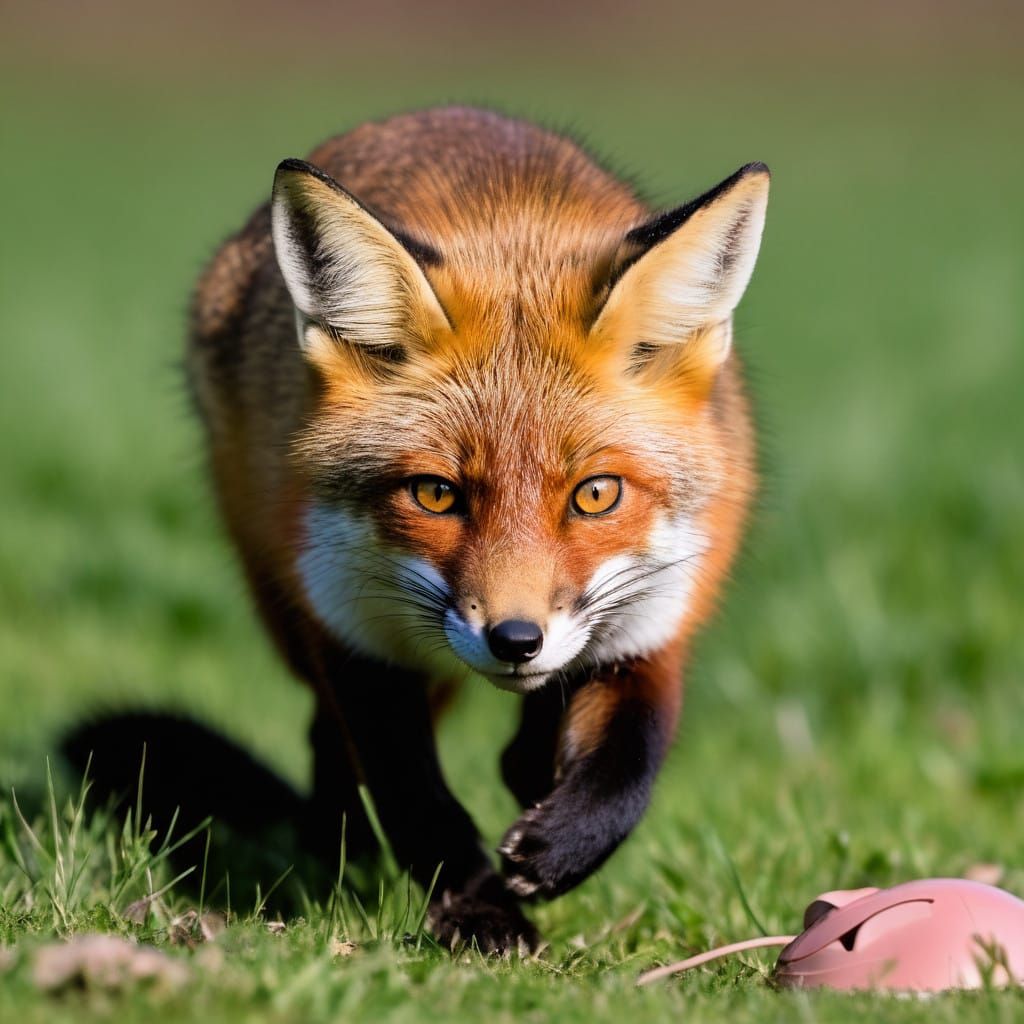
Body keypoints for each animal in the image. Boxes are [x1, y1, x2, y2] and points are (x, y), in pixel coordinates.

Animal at [113, 106, 769, 951]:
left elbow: (633, 758)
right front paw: (480, 912)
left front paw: (561, 845)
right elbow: (414, 797)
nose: (516, 641)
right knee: (327, 741)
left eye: (595, 495)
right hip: (283, 603)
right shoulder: (350, 628)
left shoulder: (658, 618)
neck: (513, 232)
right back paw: (339, 853)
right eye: (435, 494)